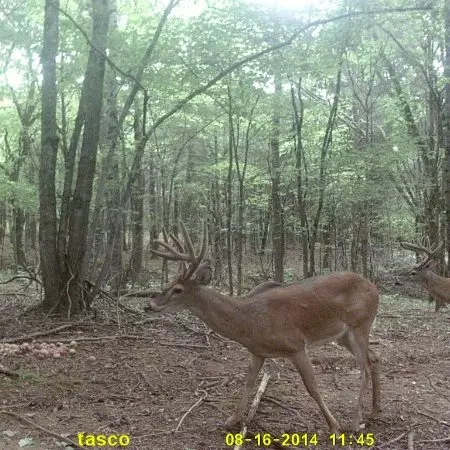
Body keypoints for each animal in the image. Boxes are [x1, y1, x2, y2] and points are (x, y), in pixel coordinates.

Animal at [145, 223, 380, 434]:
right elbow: (248, 382)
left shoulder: (295, 345)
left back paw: (355, 421)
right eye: (168, 282)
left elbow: (312, 387)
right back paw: (374, 411)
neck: (249, 321)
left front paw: (333, 426)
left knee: (365, 367)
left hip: (360, 324)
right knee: (375, 357)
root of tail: (374, 287)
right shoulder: (258, 351)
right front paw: (232, 419)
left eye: (177, 289)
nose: (150, 305)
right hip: (343, 336)